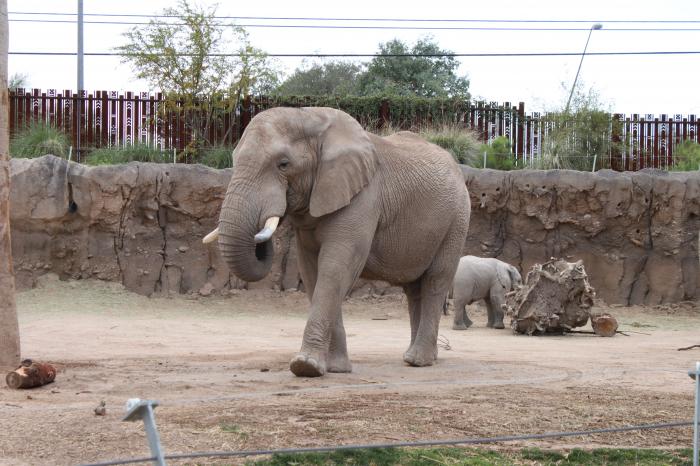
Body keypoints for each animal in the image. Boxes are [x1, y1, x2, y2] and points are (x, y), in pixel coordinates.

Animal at [203, 107, 470, 377]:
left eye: (284, 164)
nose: (261, 237)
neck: (312, 118)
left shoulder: (363, 197)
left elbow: (336, 267)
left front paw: (305, 367)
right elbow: (313, 272)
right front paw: (335, 368)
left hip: (457, 220)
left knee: (435, 281)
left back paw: (418, 360)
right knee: (414, 289)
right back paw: (417, 357)